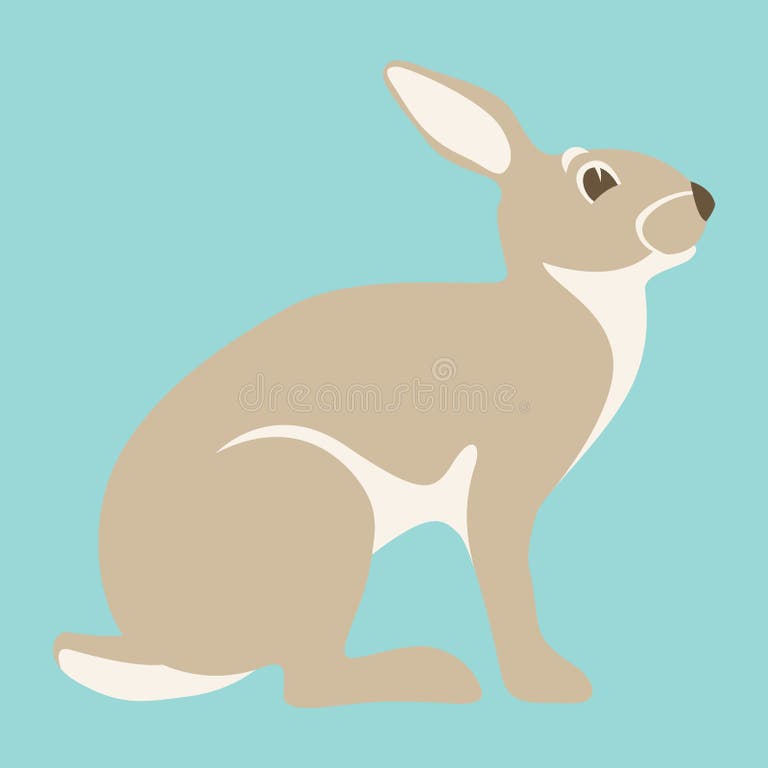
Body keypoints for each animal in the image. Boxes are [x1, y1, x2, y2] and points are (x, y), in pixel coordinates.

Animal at [54, 61, 715, 705]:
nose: (704, 199)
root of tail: (168, 651)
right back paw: (435, 674)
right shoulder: (499, 487)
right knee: (309, 684)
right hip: (319, 503)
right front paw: (547, 684)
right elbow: (508, 583)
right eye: (595, 180)